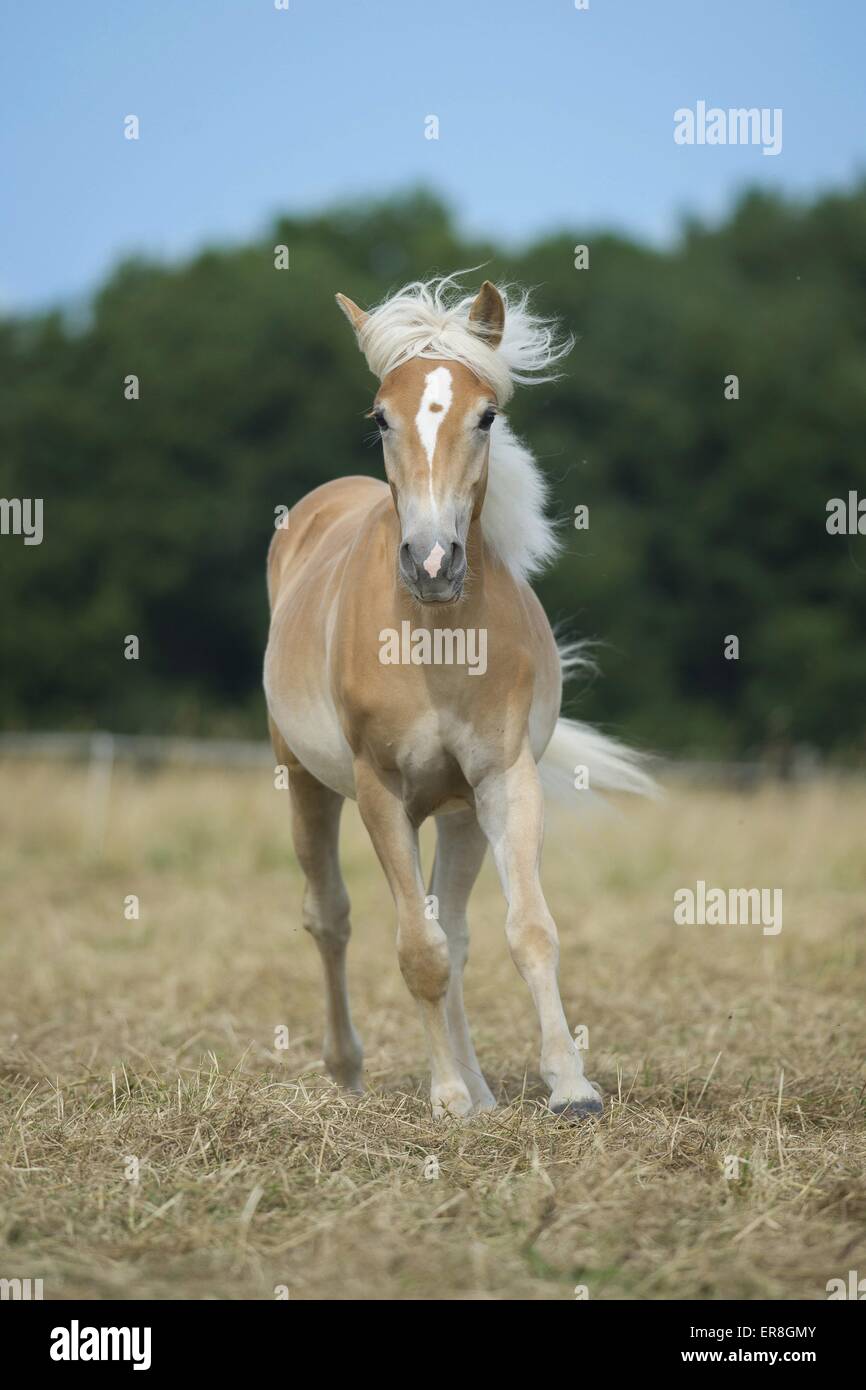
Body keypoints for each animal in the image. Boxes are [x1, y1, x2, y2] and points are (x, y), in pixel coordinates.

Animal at [264, 274, 653, 1120]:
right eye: (381, 415)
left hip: (458, 811)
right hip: (308, 783)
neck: (437, 638)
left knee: (461, 931)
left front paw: (570, 1086)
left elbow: (527, 930)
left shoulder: (502, 779)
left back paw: (480, 1087)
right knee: (331, 917)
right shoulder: (380, 790)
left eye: (488, 416)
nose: (434, 562)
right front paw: (444, 1098)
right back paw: (351, 1072)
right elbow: (417, 950)